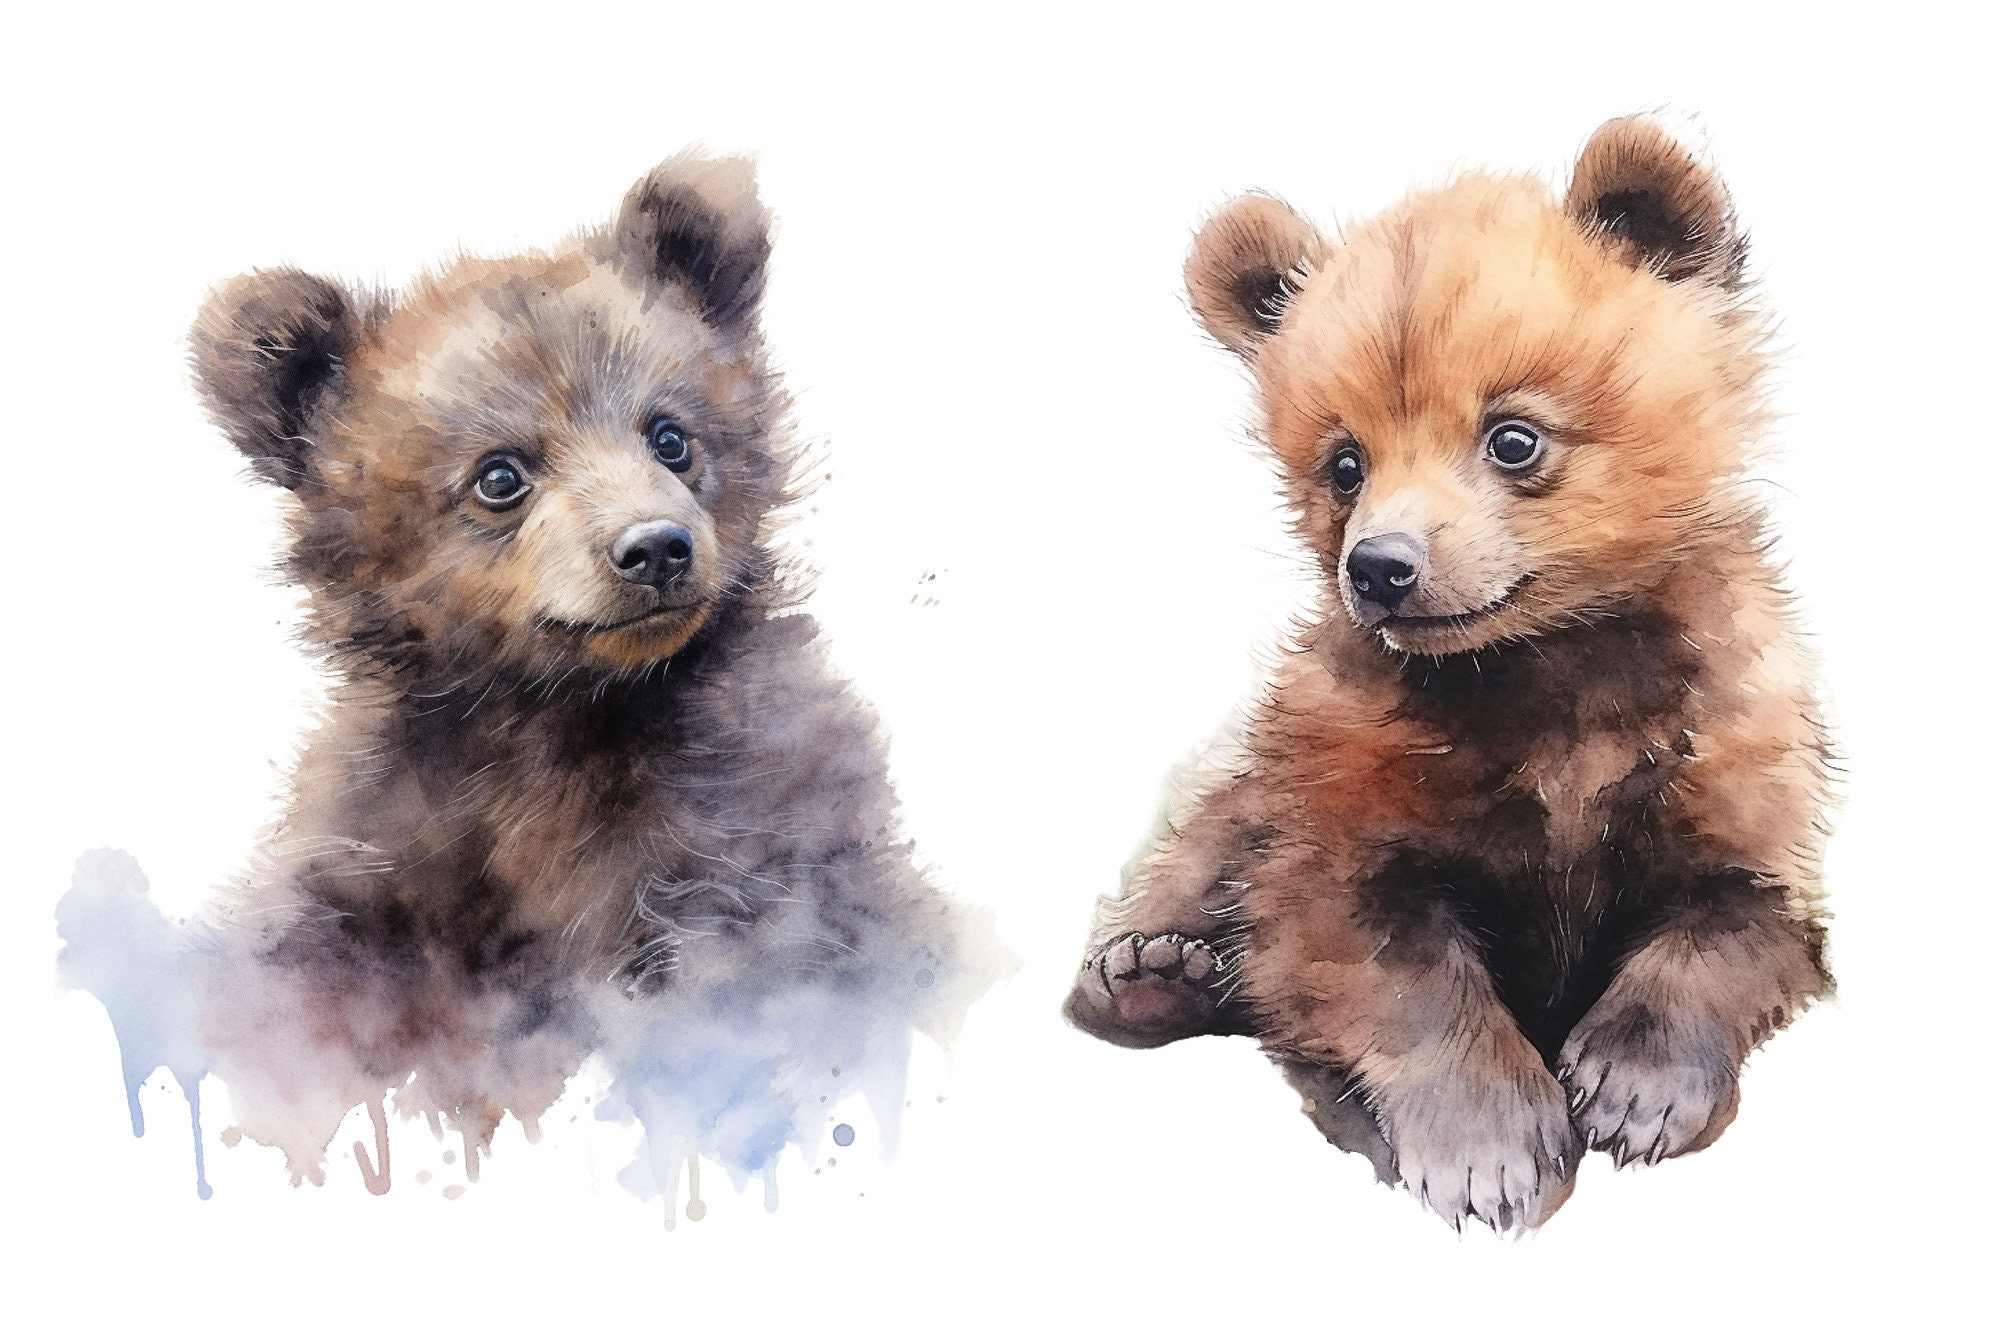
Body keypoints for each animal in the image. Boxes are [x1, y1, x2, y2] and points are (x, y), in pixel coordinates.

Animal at [72, 151, 982, 1193]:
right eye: (500, 474)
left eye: (670, 434)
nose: (655, 548)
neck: (556, 716)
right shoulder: (392, 847)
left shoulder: (748, 835)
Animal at [1063, 118, 1833, 1233]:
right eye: (1343, 463)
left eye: (1513, 437)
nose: (1379, 568)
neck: (1546, 675)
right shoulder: (1346, 790)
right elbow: (1389, 962)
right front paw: (1491, 1152)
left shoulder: (1728, 754)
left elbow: (1734, 917)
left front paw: (1634, 1085)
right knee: (1197, 850)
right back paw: (1149, 966)